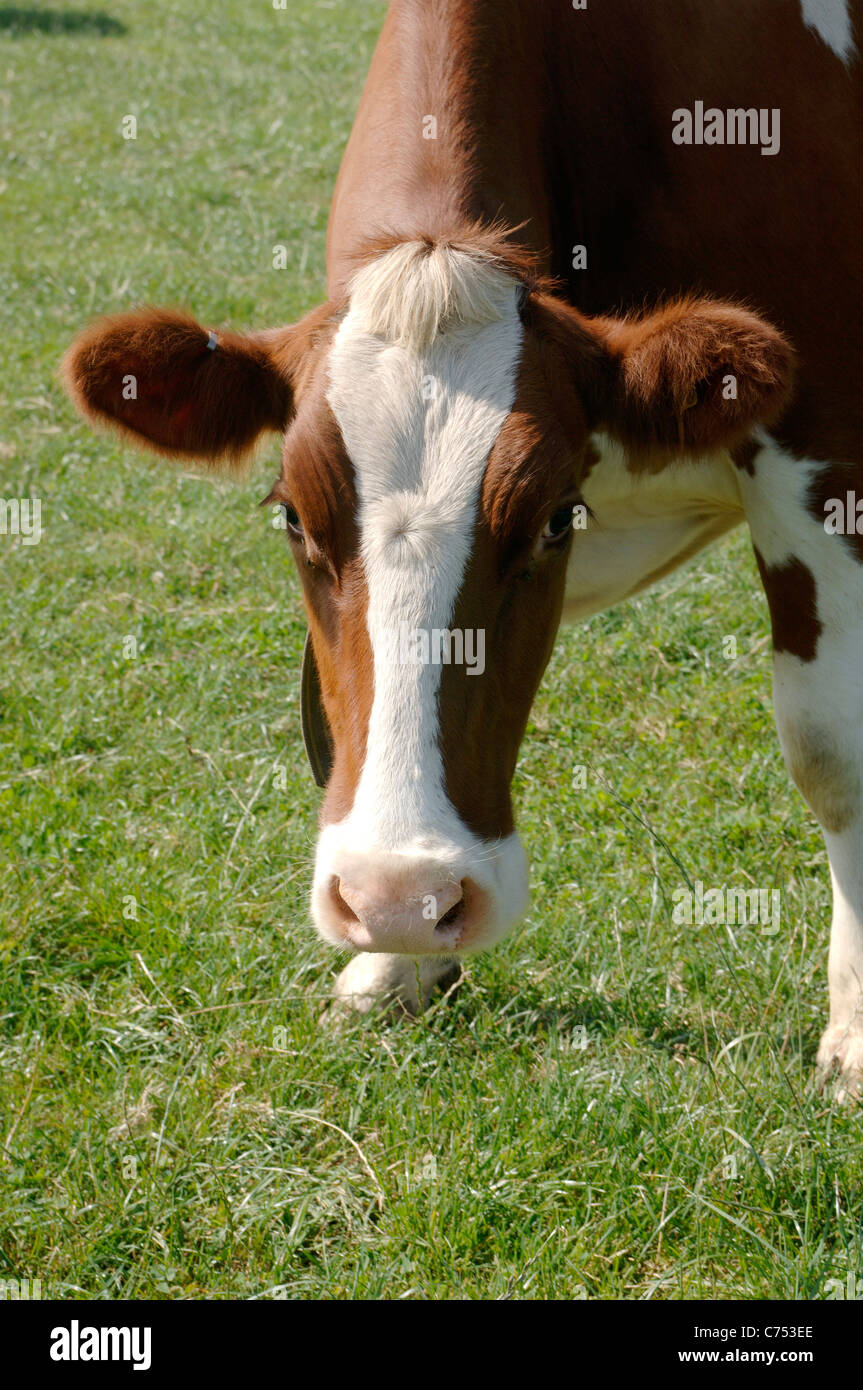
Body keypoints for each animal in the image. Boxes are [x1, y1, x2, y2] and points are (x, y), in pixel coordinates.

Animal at [62, 0, 863, 1096]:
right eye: (291, 516)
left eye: (555, 517)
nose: (402, 895)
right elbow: (332, 722)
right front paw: (390, 970)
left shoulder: (825, 441)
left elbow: (830, 747)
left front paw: (855, 1037)